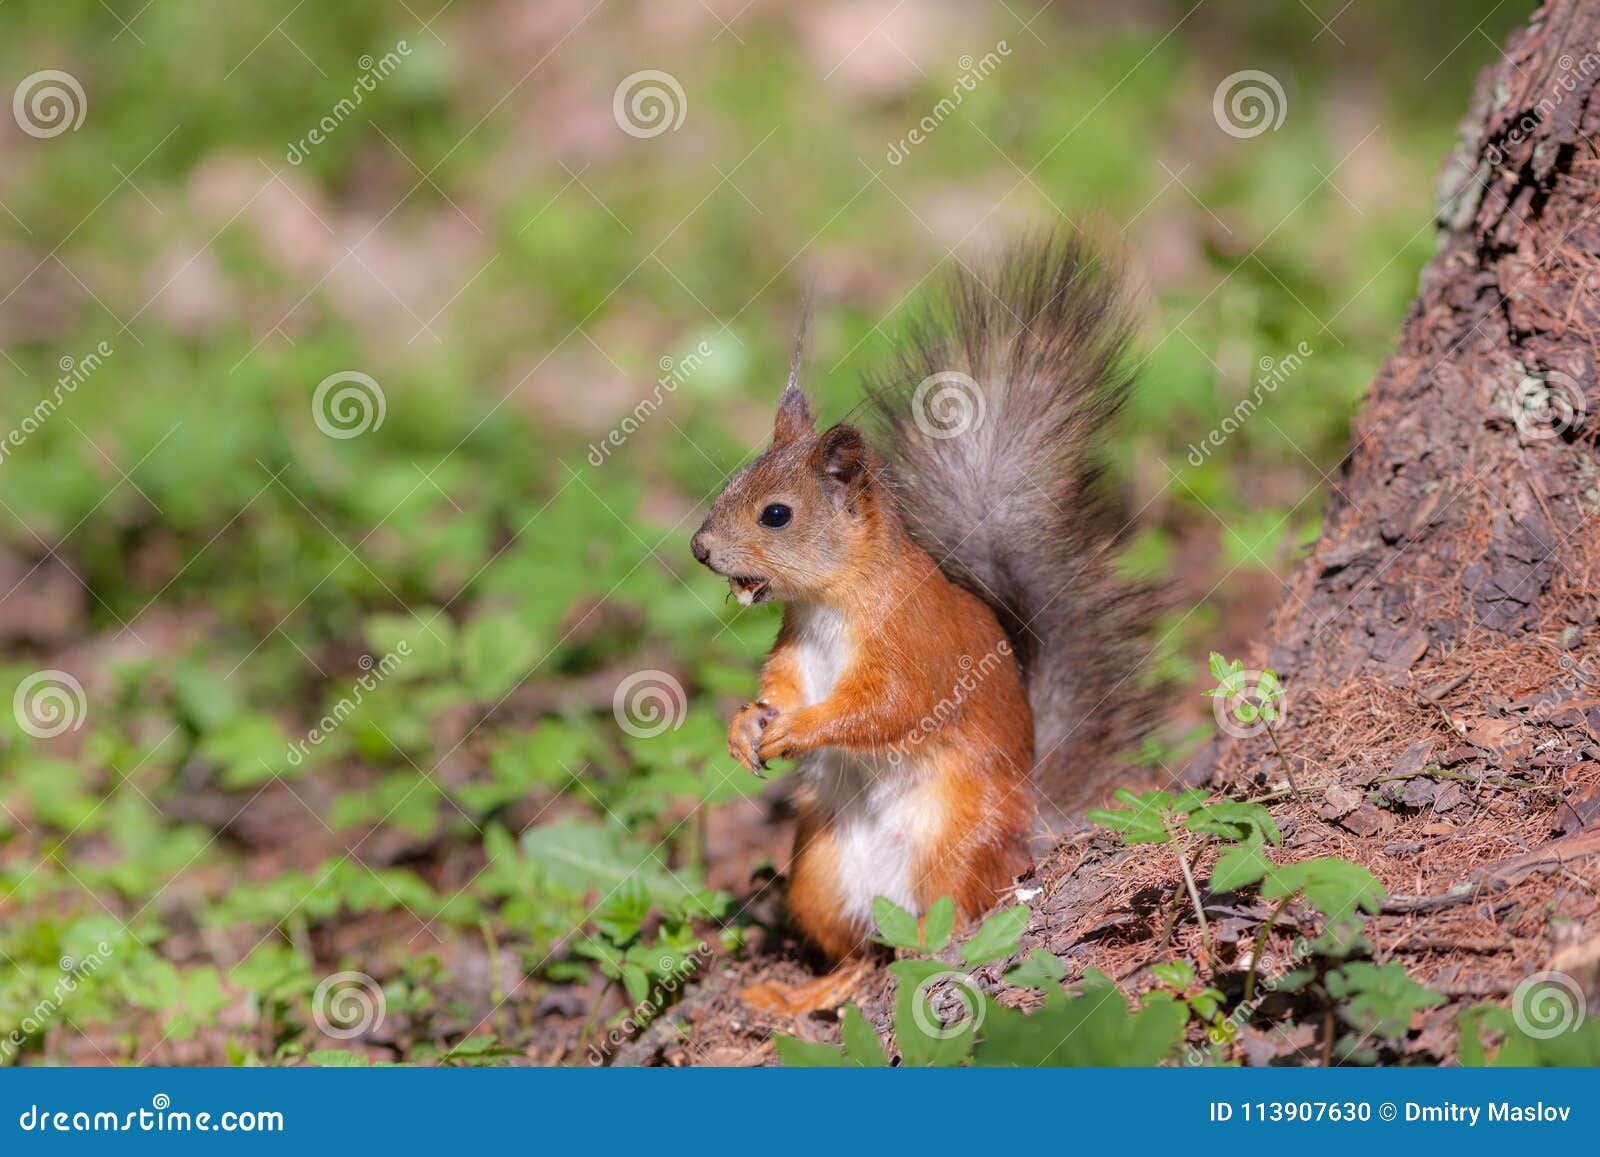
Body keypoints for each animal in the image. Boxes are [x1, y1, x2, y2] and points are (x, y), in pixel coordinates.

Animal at [690, 232, 1157, 961]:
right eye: (732, 479)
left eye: (776, 515)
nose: (700, 548)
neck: (830, 603)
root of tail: (1032, 826)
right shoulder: (794, 647)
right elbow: (782, 684)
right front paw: (746, 725)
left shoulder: (915, 644)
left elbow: (884, 706)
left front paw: (799, 729)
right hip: (818, 866)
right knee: (856, 944)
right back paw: (821, 981)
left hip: (952, 841)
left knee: (950, 918)